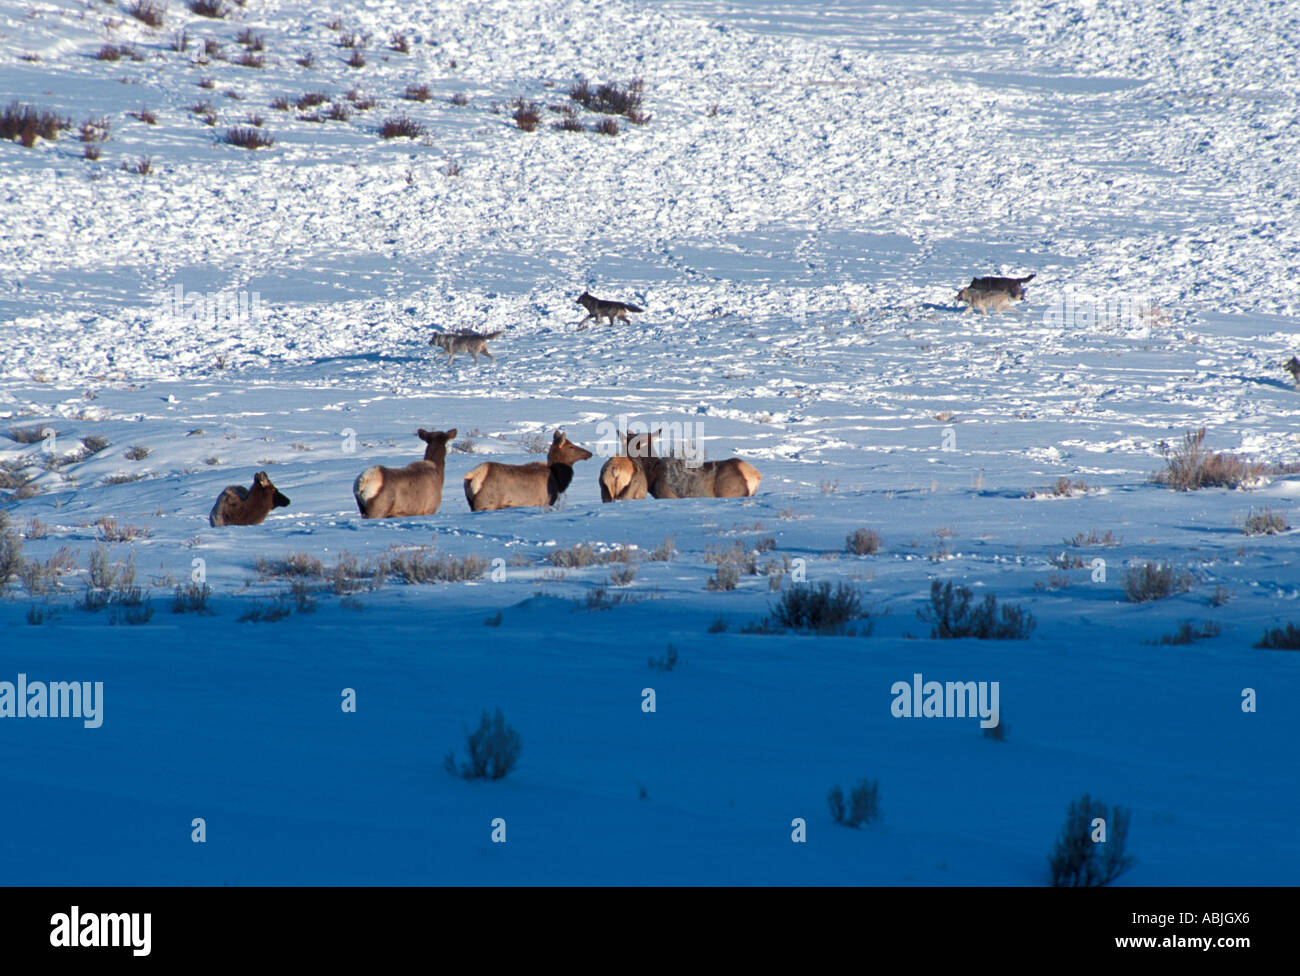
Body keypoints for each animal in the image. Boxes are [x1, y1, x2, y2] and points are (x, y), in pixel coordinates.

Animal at [464, 430, 593, 511]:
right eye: (571, 446)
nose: (589, 453)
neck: (557, 479)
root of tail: (474, 475)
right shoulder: (544, 501)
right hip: (486, 503)